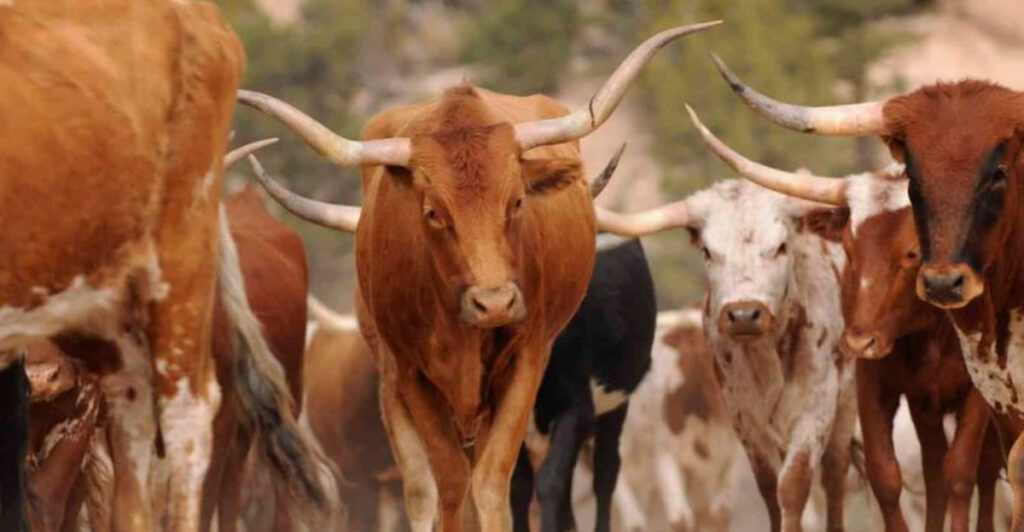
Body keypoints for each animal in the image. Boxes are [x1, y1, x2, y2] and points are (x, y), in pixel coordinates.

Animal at [594, 178, 856, 532]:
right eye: (708, 251)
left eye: (780, 247)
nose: (744, 314)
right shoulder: (741, 422)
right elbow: (768, 488)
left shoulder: (815, 411)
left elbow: (792, 487)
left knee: (834, 476)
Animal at [698, 54, 1024, 529]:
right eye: (849, 246)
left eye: (911, 252)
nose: (857, 340)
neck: (931, 332)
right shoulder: (877, 383)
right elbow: (887, 476)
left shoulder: (982, 395)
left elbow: (962, 473)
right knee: (933, 472)